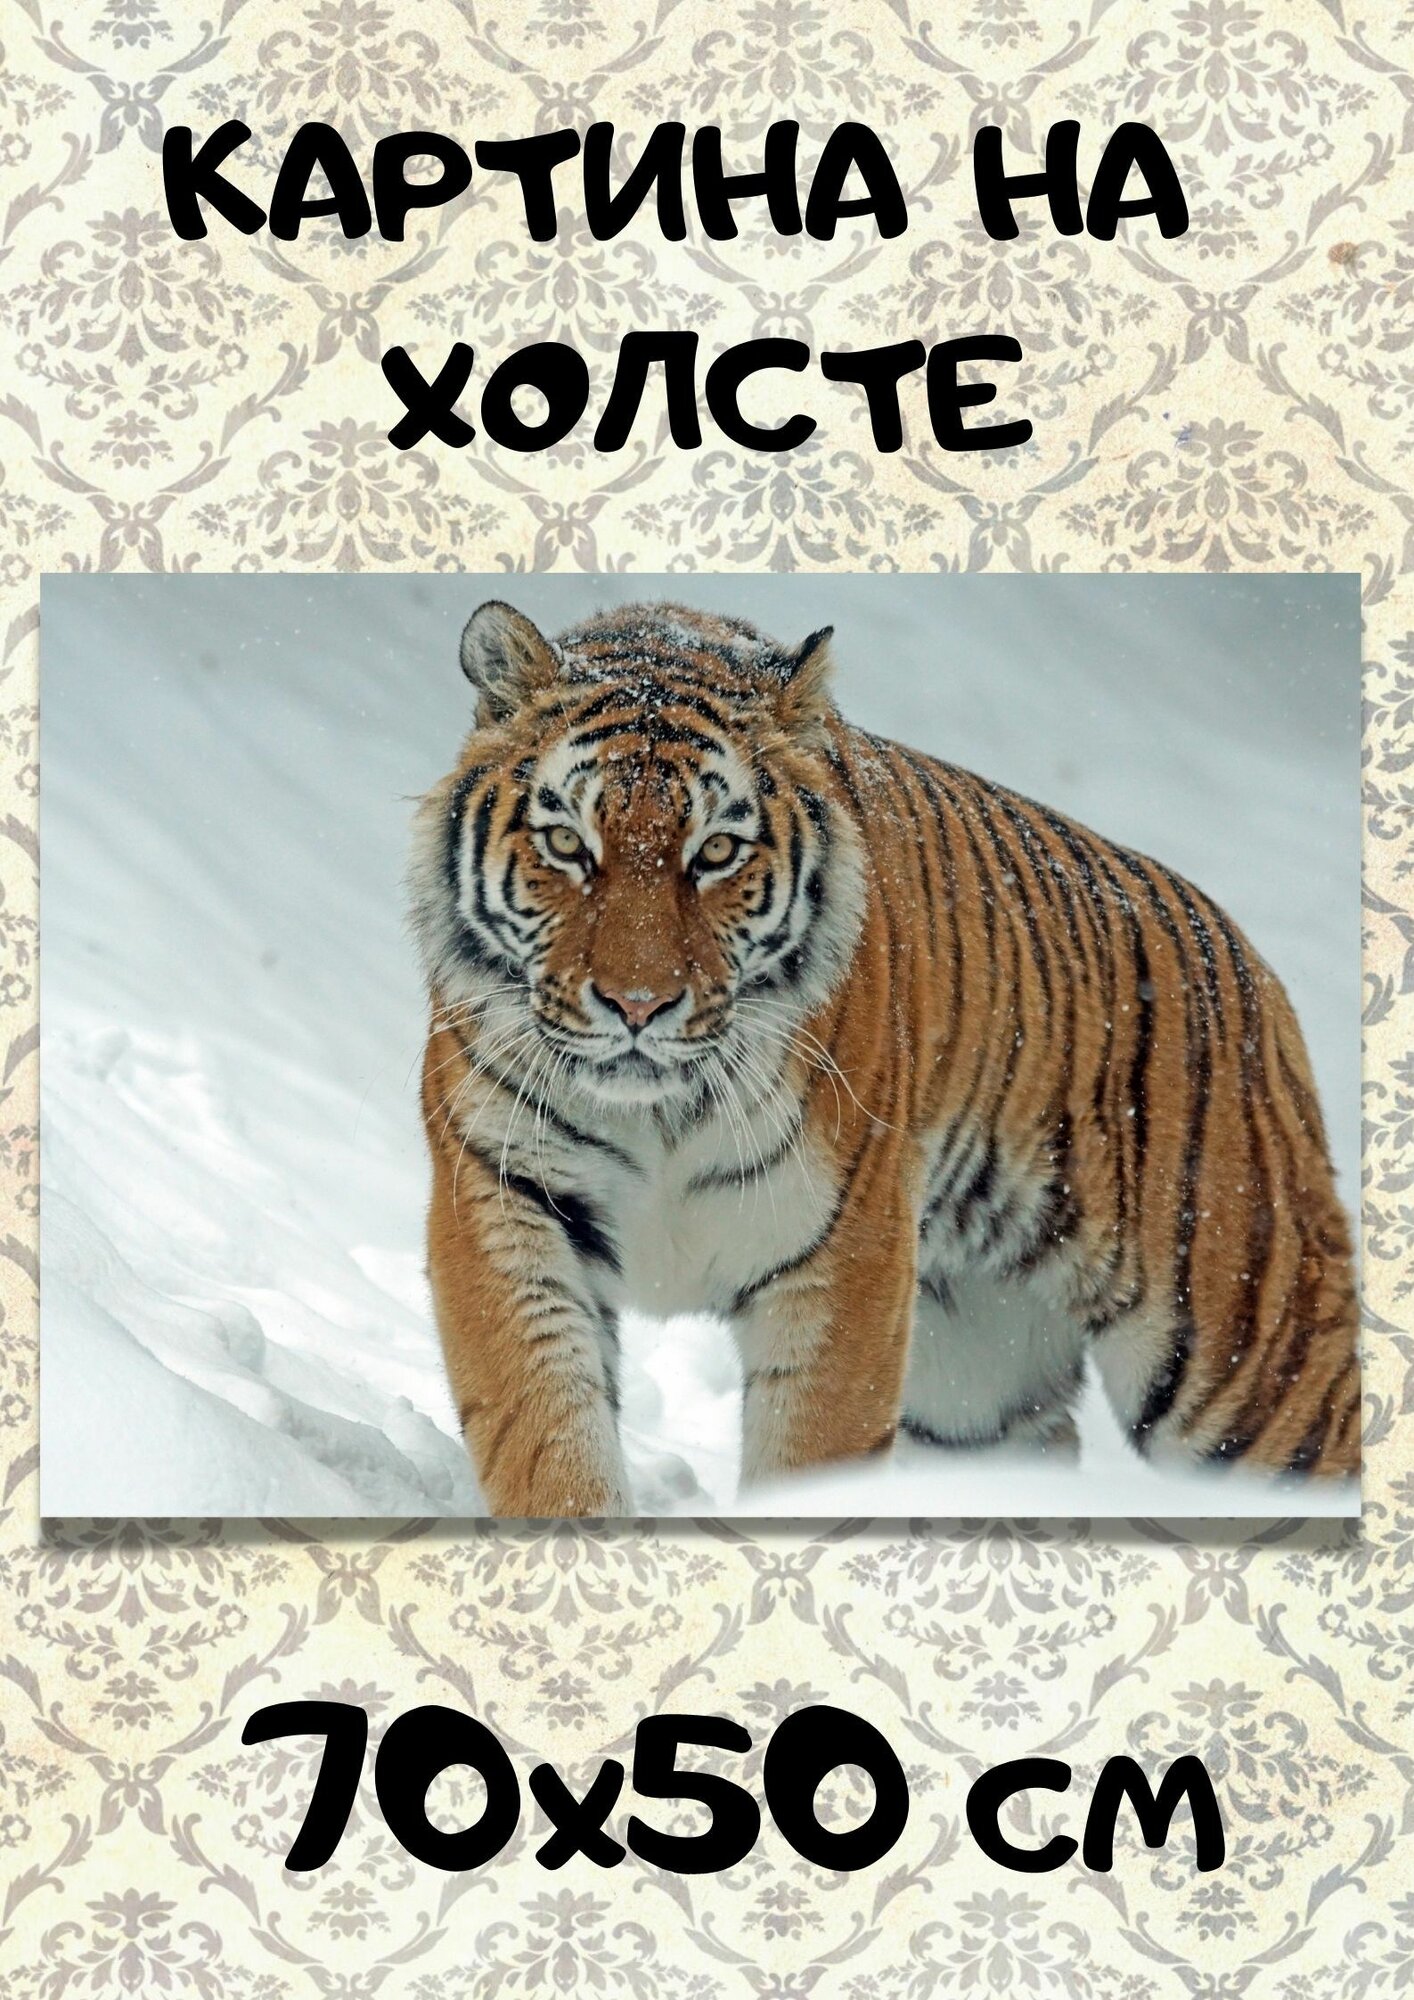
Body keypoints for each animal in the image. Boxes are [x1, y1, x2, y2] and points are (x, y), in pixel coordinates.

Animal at [409, 598, 1360, 1518]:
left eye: (715, 852)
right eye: (568, 844)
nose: (638, 1005)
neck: (661, 1113)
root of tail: (1252, 967)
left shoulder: (844, 1254)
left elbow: (810, 1463)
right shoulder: (505, 1200)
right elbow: (547, 1438)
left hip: (1249, 1364)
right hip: (977, 1387)